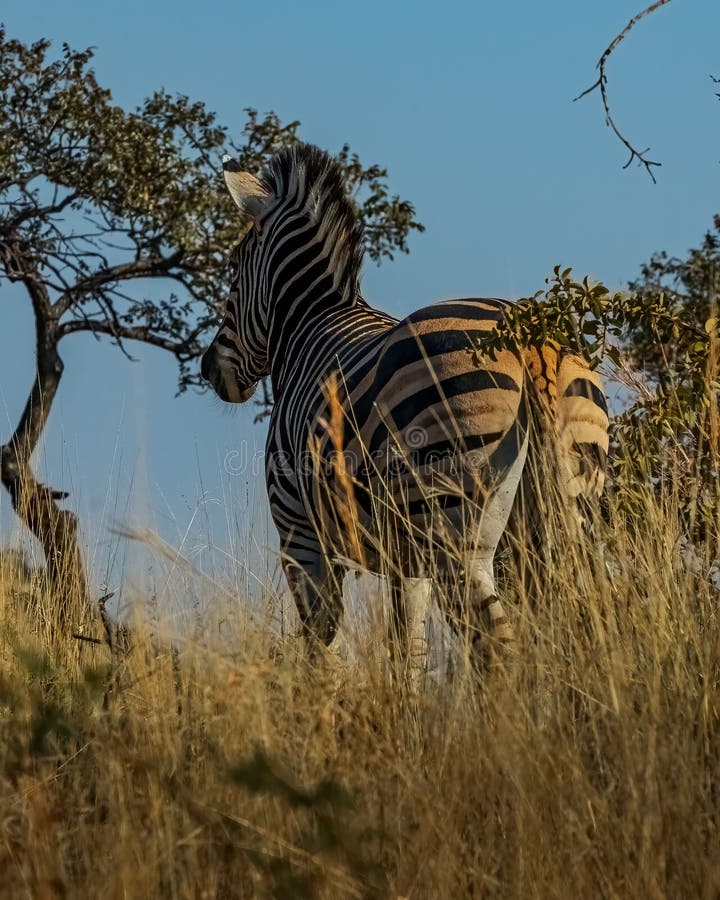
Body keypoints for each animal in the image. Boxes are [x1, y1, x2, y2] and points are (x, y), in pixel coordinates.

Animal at [201, 143, 609, 667]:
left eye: (234, 269)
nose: (209, 369)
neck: (310, 323)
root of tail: (528, 338)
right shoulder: (404, 560)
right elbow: (406, 652)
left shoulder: (300, 535)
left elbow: (321, 649)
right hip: (568, 507)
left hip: (454, 523)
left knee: (497, 647)